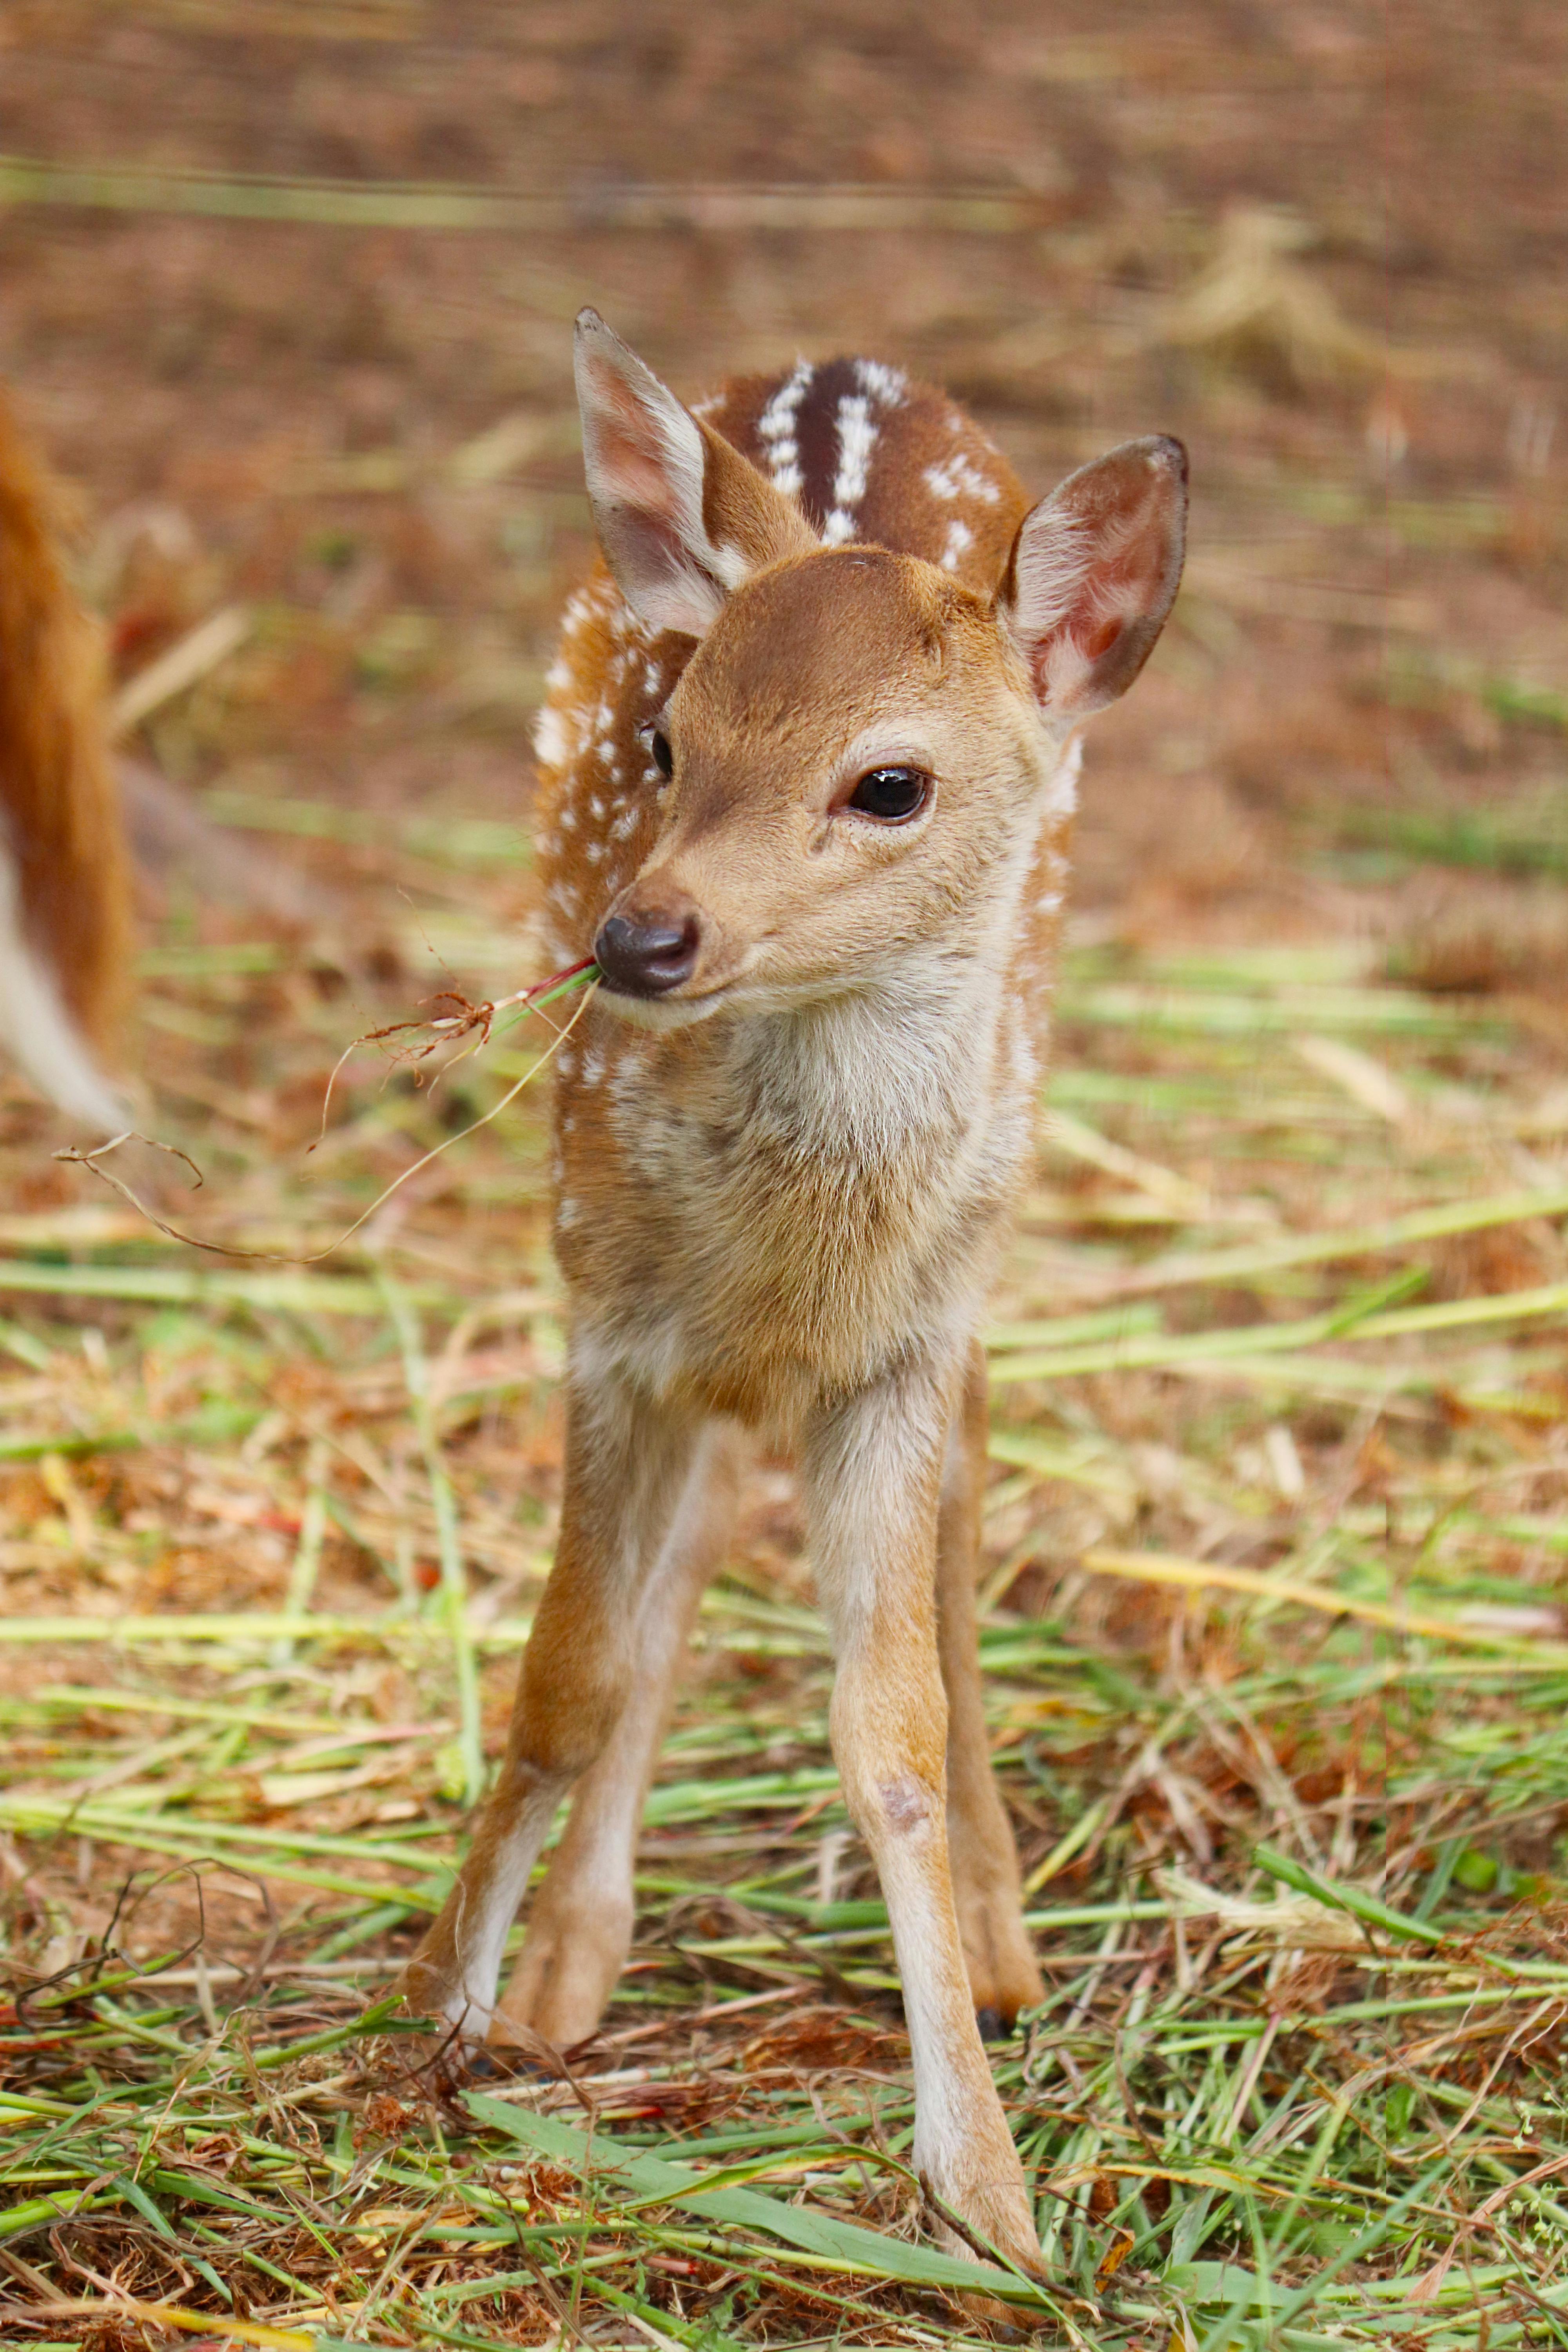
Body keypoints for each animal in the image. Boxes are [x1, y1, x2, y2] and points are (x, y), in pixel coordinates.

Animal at [400, 312, 1186, 2277]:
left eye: (887, 783)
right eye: (668, 740)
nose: (639, 938)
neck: (790, 1234)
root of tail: (856, 361)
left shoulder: (895, 1344)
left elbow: (885, 1728)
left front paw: (987, 2194)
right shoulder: (607, 1312)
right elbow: (566, 1678)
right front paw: (437, 2015)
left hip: (986, 1218)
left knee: (960, 1512)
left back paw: (1003, 1947)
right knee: (684, 1558)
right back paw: (571, 1966)